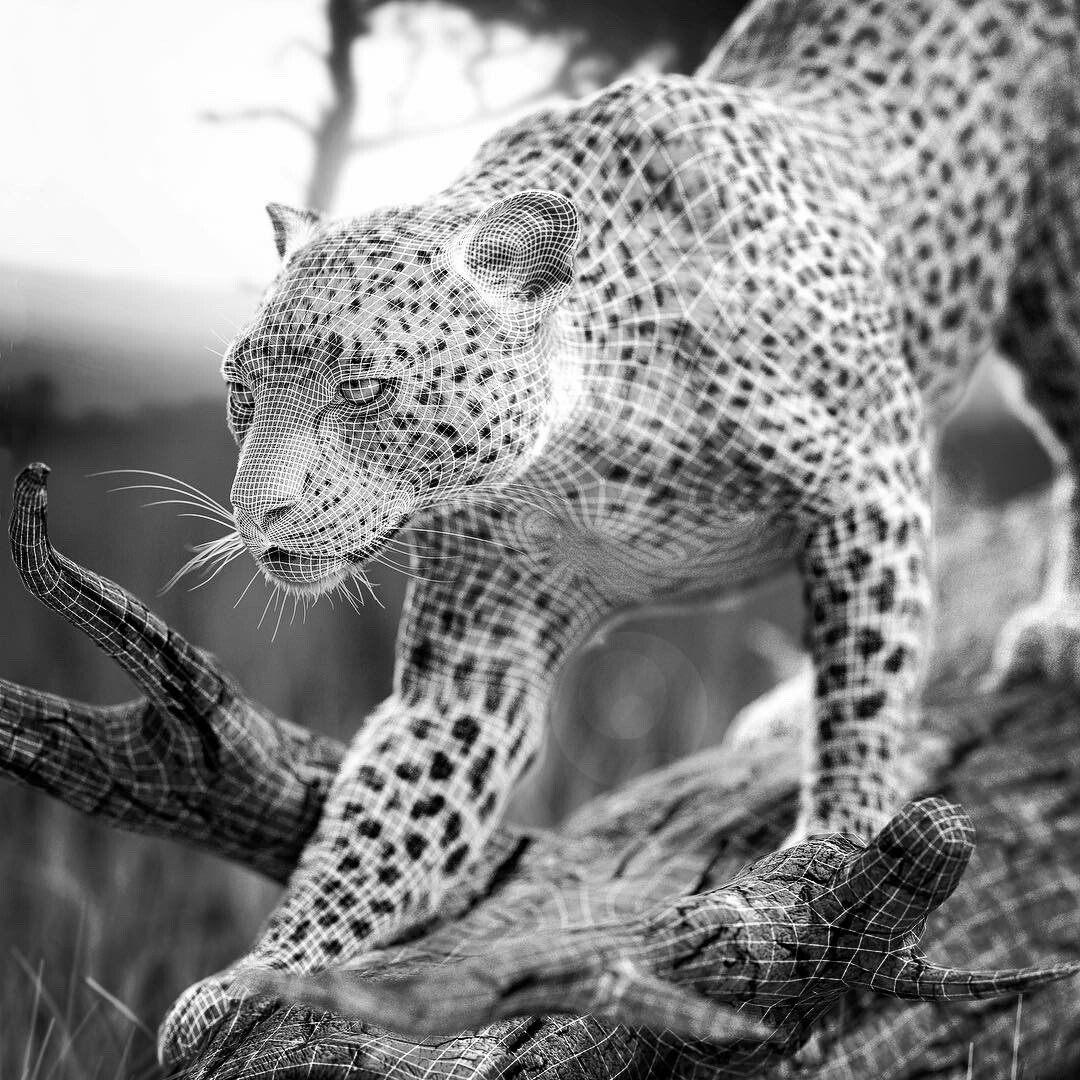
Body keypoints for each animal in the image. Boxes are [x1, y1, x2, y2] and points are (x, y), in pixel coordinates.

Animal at [159, 0, 1080, 1064]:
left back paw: (1055, 630)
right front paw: (259, 975)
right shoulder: (479, 656)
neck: (589, 440)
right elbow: (388, 815)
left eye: (364, 388)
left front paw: (840, 846)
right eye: (240, 391)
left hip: (1057, 288)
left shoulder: (869, 479)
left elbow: (869, 687)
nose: (254, 513)